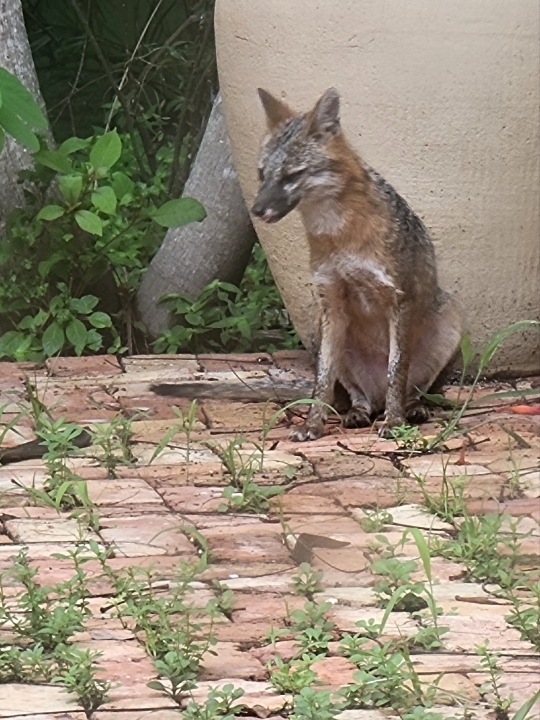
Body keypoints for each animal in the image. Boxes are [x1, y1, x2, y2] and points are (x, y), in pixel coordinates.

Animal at [251, 87, 464, 441]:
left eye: (292, 175)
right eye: (261, 174)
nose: (257, 209)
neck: (340, 237)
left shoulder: (398, 297)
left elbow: (396, 370)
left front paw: (393, 422)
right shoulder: (331, 300)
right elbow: (322, 381)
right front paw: (312, 425)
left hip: (450, 322)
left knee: (412, 390)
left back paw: (409, 410)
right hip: (319, 332)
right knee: (357, 396)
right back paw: (358, 413)